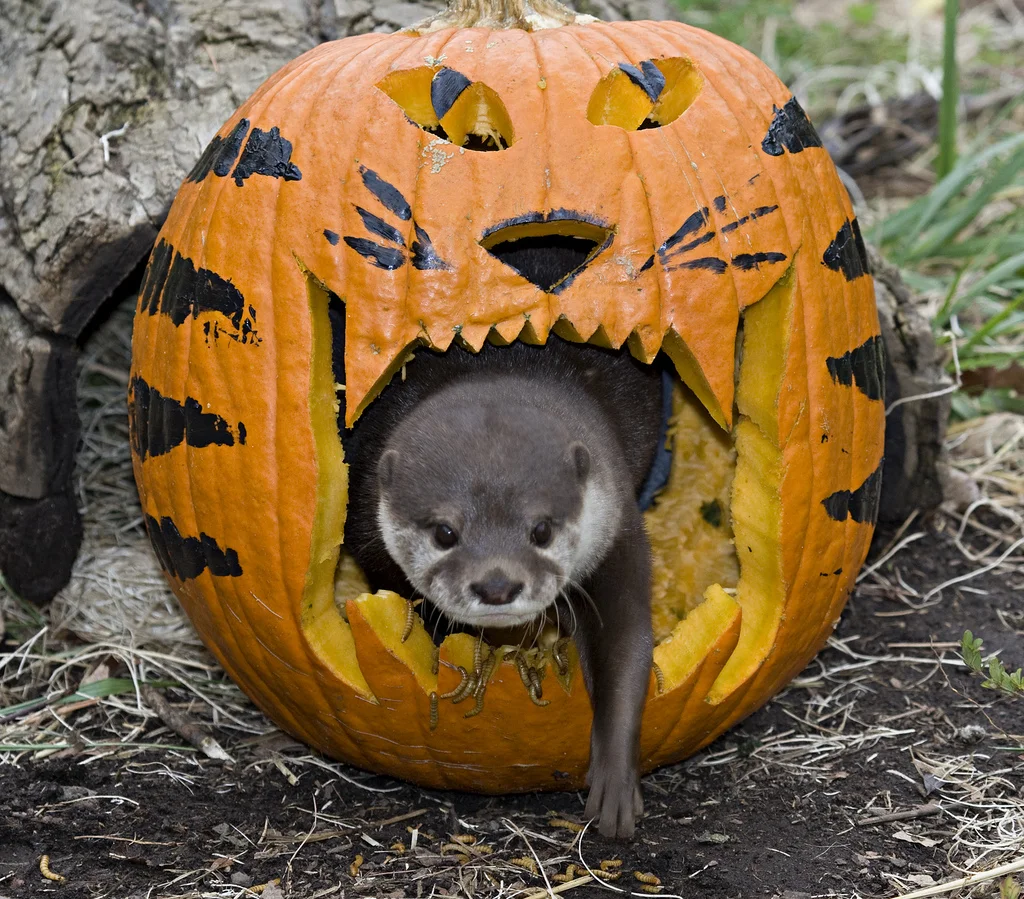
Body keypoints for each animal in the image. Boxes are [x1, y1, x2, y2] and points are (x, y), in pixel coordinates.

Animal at [341, 336, 664, 839]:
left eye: (542, 530)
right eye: (445, 533)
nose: (497, 584)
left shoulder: (618, 533)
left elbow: (626, 644)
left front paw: (615, 785)